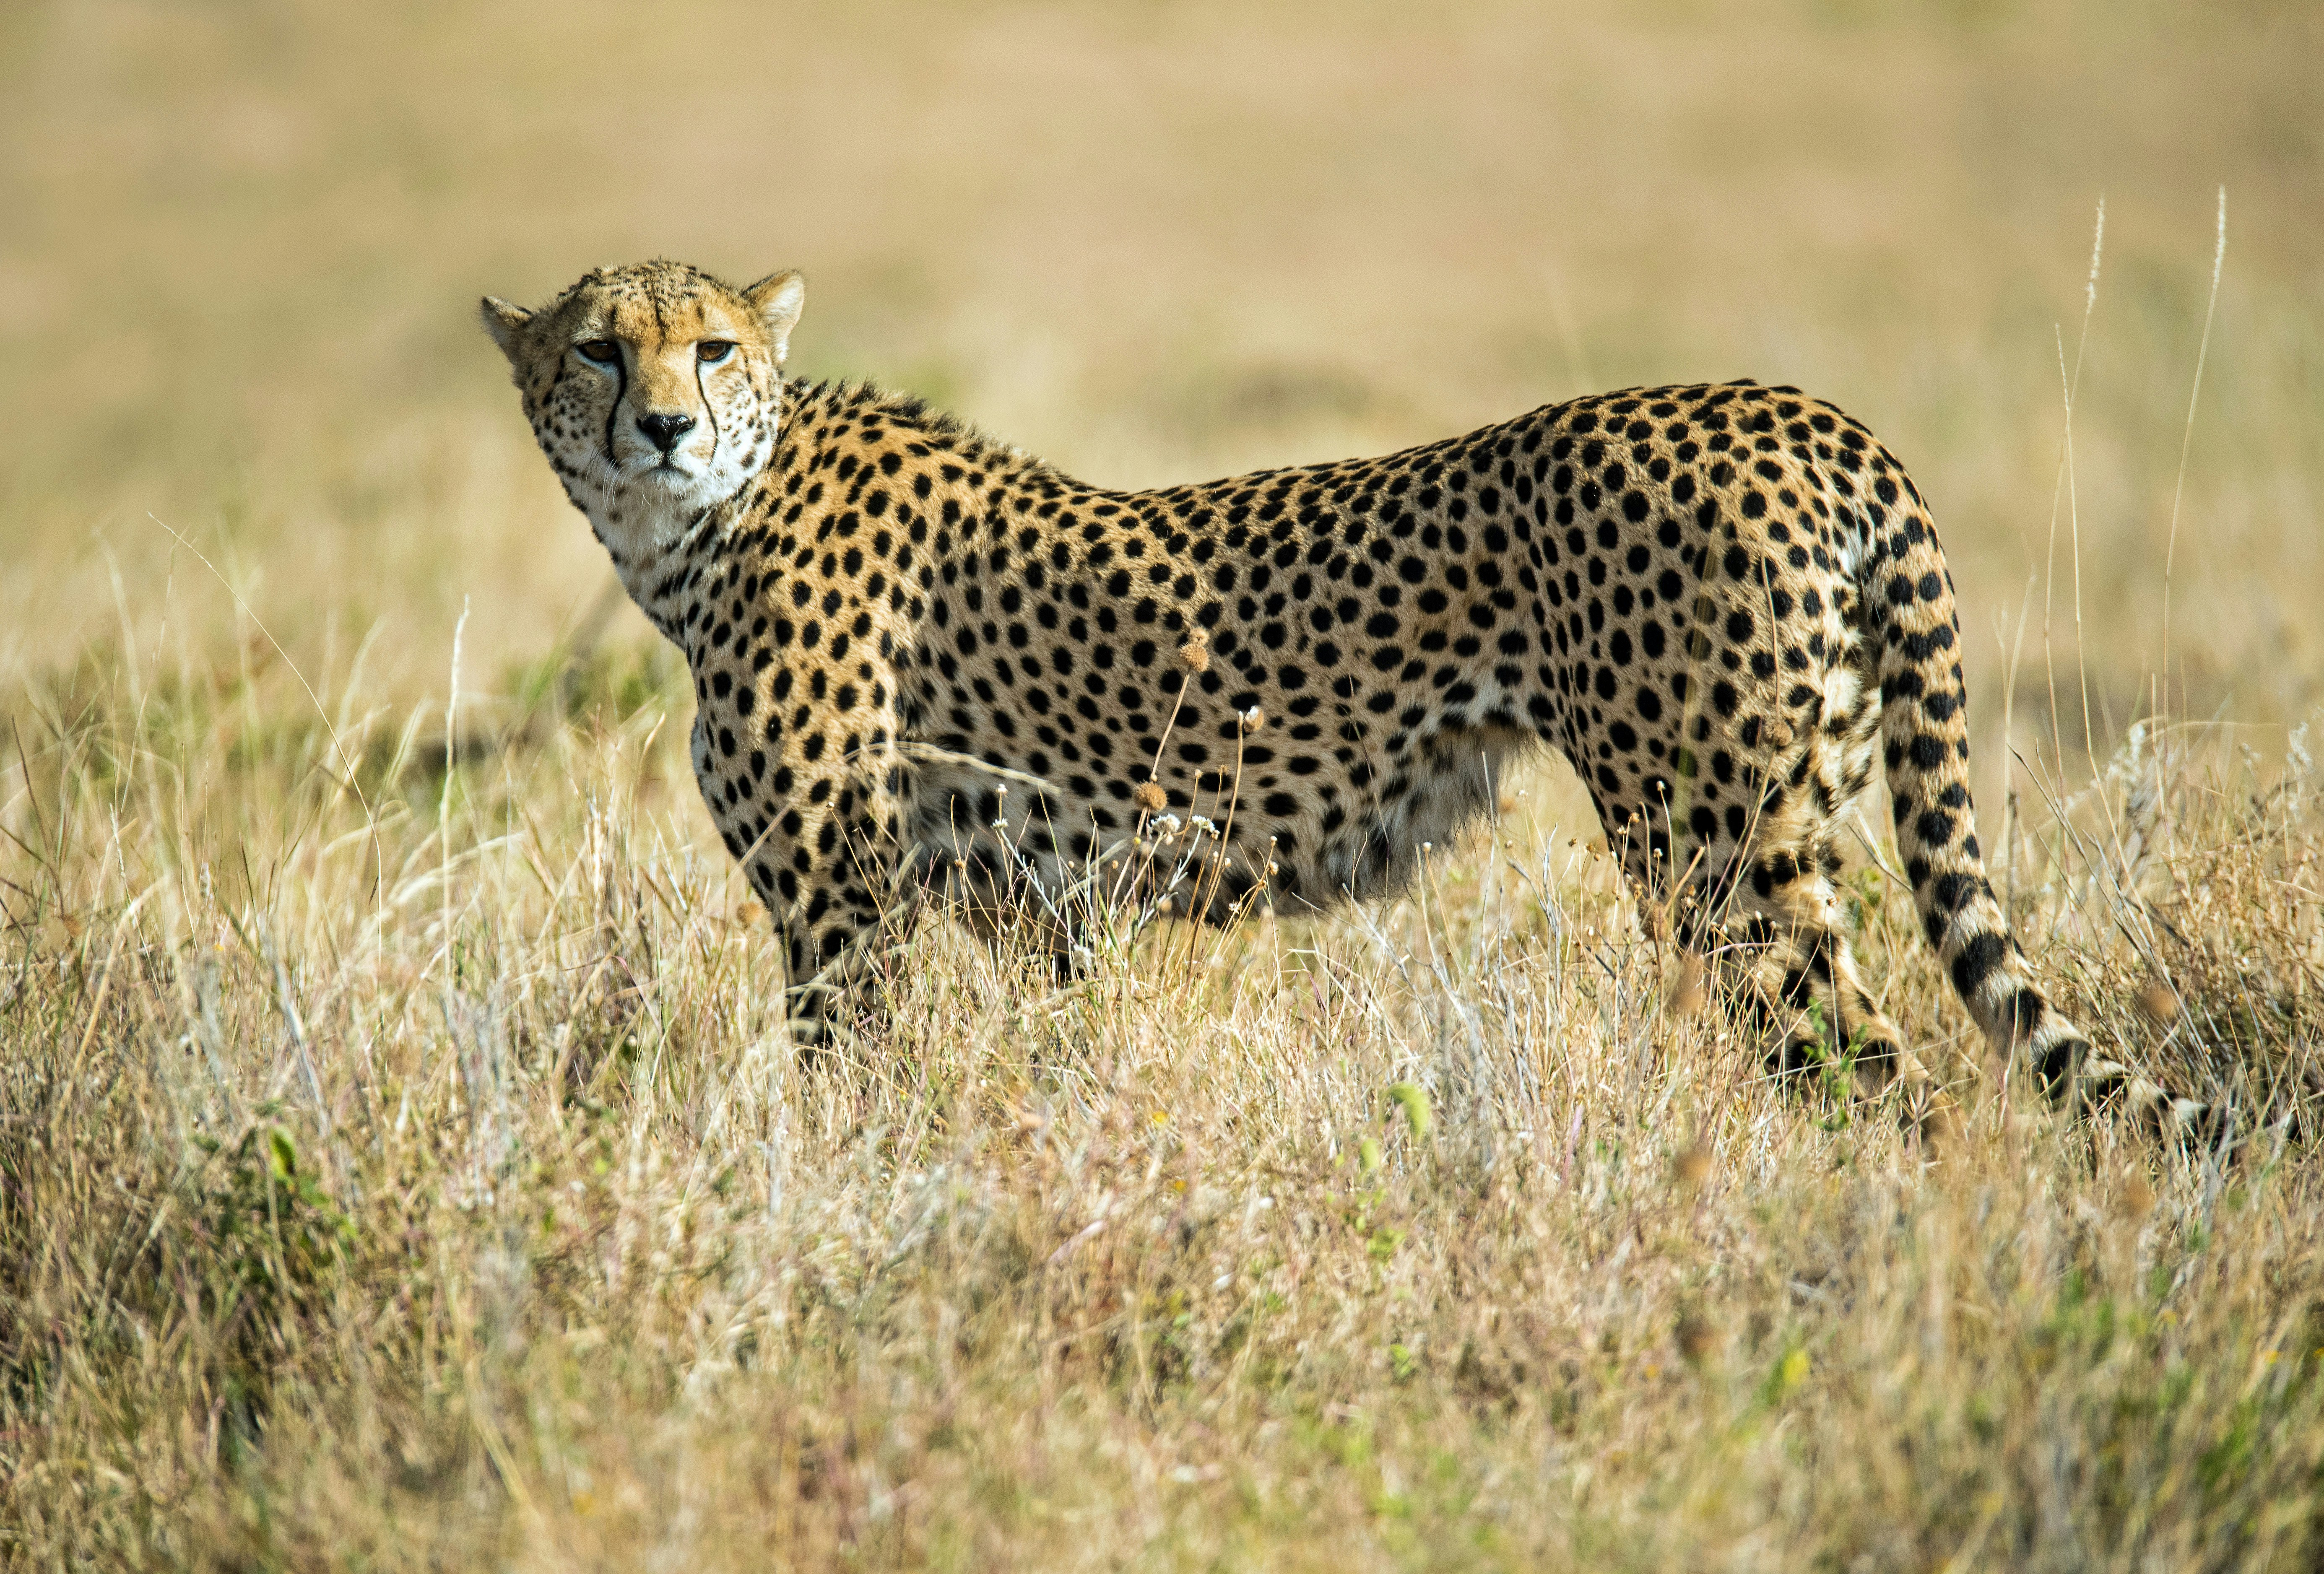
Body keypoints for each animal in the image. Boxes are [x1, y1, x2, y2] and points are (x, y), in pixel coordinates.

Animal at [481, 257, 2209, 1136]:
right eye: (595, 350)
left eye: (711, 348)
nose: (660, 426)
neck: (698, 530)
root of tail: (1795, 408)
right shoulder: (1040, 915)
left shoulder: (840, 908)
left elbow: (847, 1092)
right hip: (1802, 798)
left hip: (1716, 851)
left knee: (1879, 1073)